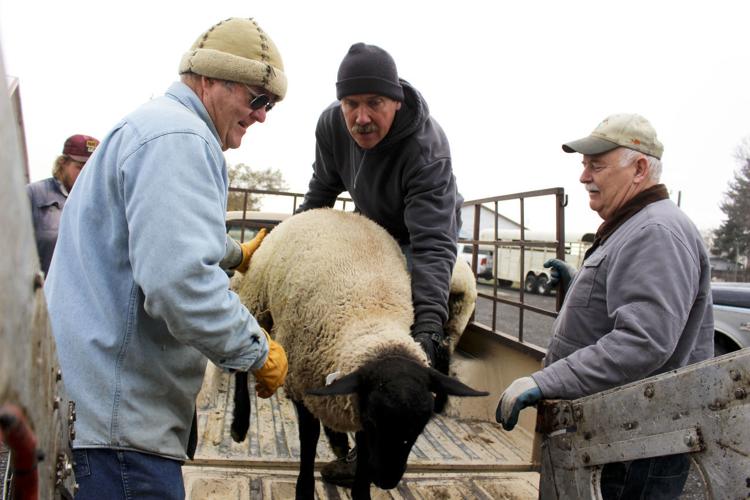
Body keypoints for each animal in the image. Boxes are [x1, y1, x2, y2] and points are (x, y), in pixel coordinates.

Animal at [230, 208, 486, 500]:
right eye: (376, 422)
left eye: (420, 428)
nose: (386, 481)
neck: (370, 319)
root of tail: (318, 210)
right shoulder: (300, 384)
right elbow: (309, 440)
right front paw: (304, 489)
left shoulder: (348, 399)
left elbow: (362, 454)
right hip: (257, 299)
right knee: (243, 364)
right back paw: (239, 424)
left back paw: (339, 442)